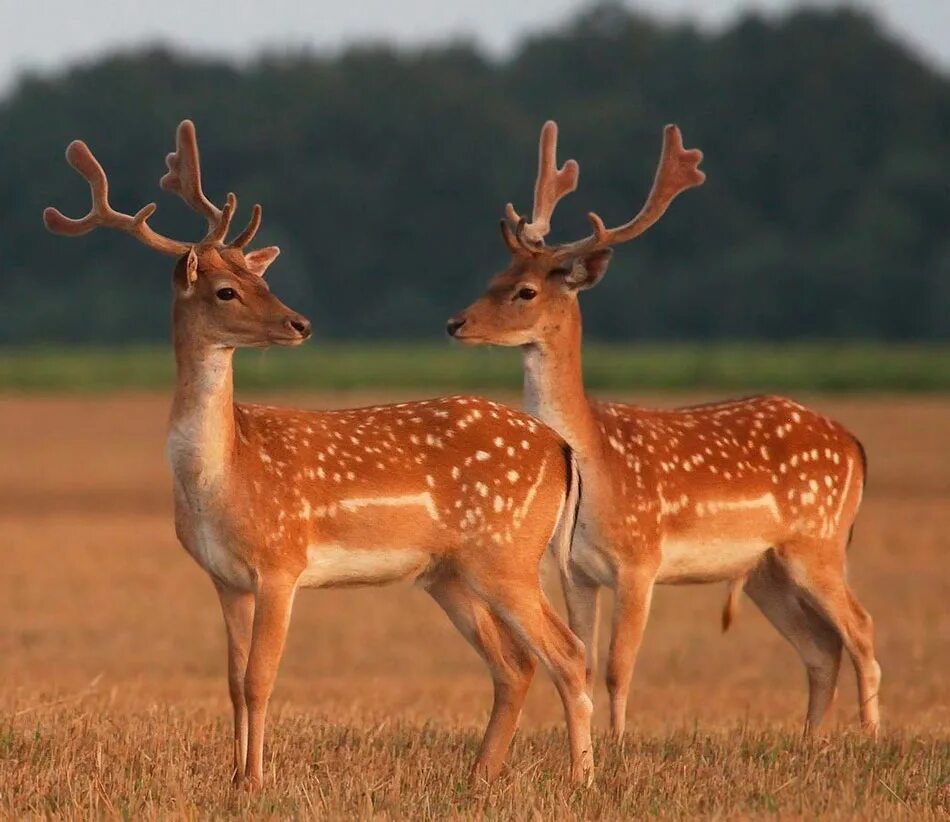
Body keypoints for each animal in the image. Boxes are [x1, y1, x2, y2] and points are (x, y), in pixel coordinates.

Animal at [46, 119, 596, 788]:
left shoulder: (282, 561)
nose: (300, 323)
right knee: (516, 662)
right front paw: (236, 777)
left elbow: (261, 679)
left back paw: (582, 779)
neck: (223, 475)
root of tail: (561, 446)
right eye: (227, 291)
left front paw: (257, 781)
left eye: (264, 281)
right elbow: (233, 683)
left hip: (506, 553)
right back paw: (478, 779)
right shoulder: (225, 579)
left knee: (568, 652)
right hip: (449, 573)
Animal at [450, 124, 880, 748]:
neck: (598, 464)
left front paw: (617, 744)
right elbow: (584, 655)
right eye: (493, 278)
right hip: (766, 570)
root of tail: (854, 444)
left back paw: (871, 736)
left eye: (526, 291)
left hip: (816, 542)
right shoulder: (575, 570)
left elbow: (618, 664)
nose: (455, 323)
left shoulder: (640, 558)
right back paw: (809, 741)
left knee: (862, 628)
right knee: (822, 647)